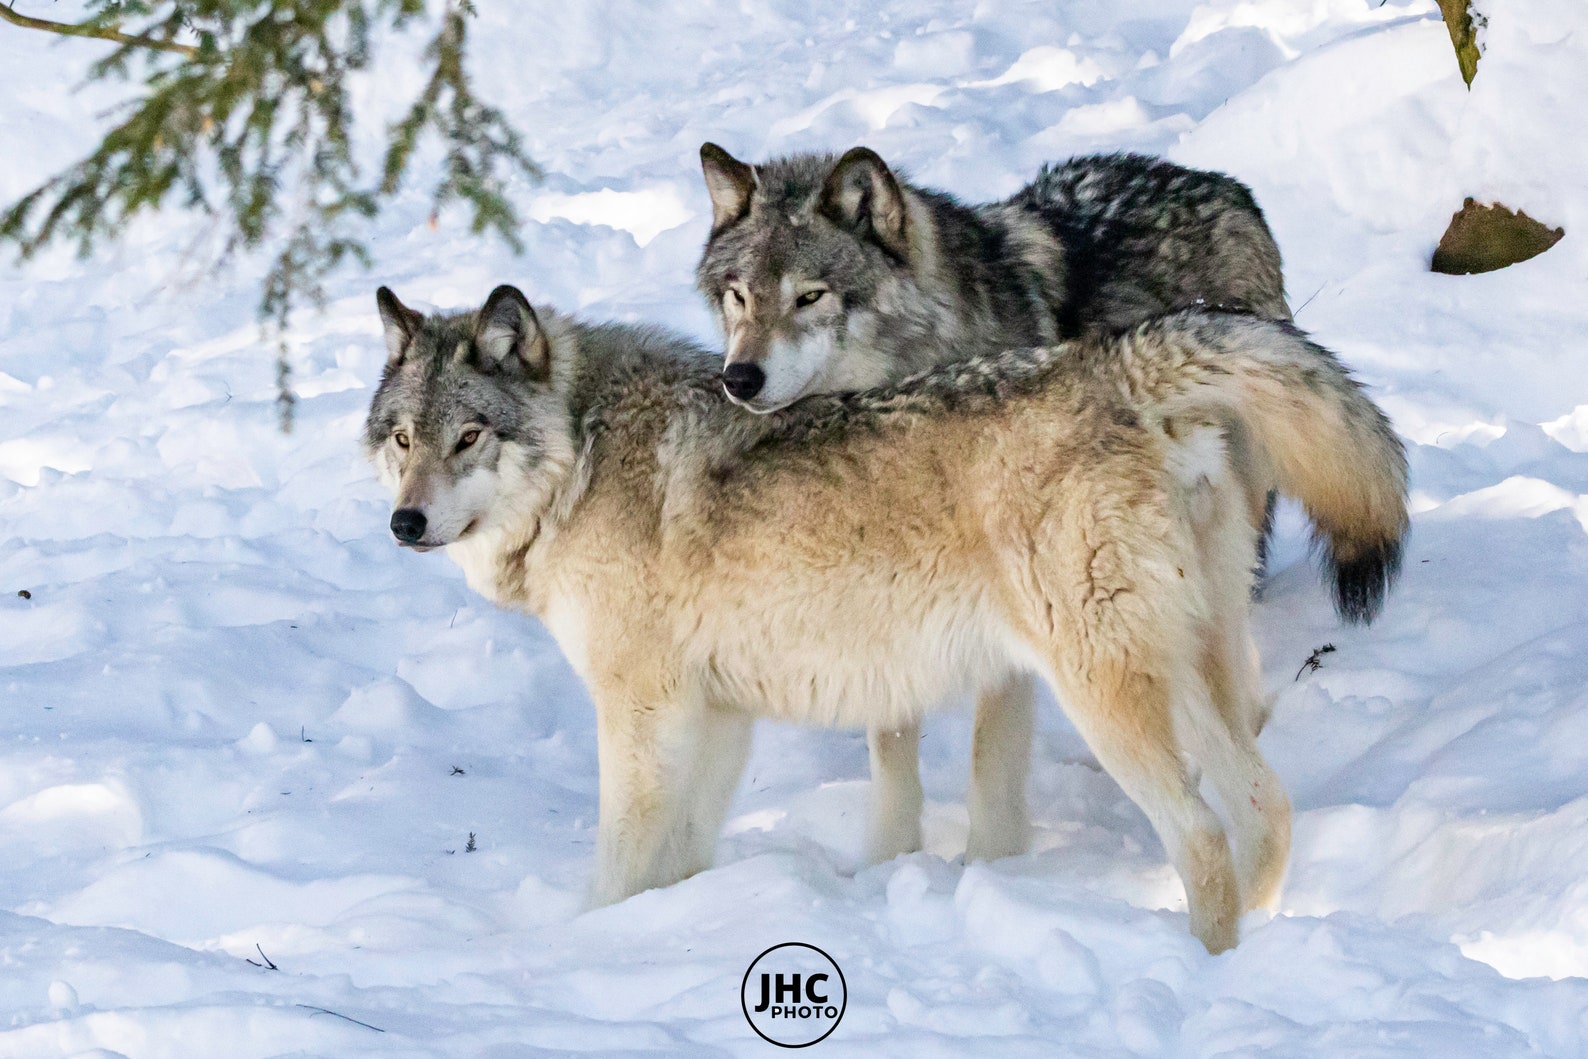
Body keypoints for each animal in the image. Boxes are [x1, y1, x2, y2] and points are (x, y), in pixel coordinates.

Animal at [363, 284, 1408, 953]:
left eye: (470, 436)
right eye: (404, 439)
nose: (405, 523)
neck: (581, 453)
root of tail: (1109, 367)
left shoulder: (642, 714)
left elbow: (619, 867)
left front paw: (587, 948)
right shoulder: (718, 718)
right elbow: (685, 856)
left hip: (1105, 694)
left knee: (1200, 836)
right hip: (1190, 669)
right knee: (1265, 805)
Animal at [695, 144, 1295, 863]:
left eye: (810, 296)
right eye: (739, 296)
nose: (738, 377)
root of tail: (1219, 183)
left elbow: (988, 754)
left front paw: (989, 863)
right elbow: (890, 749)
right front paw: (889, 862)